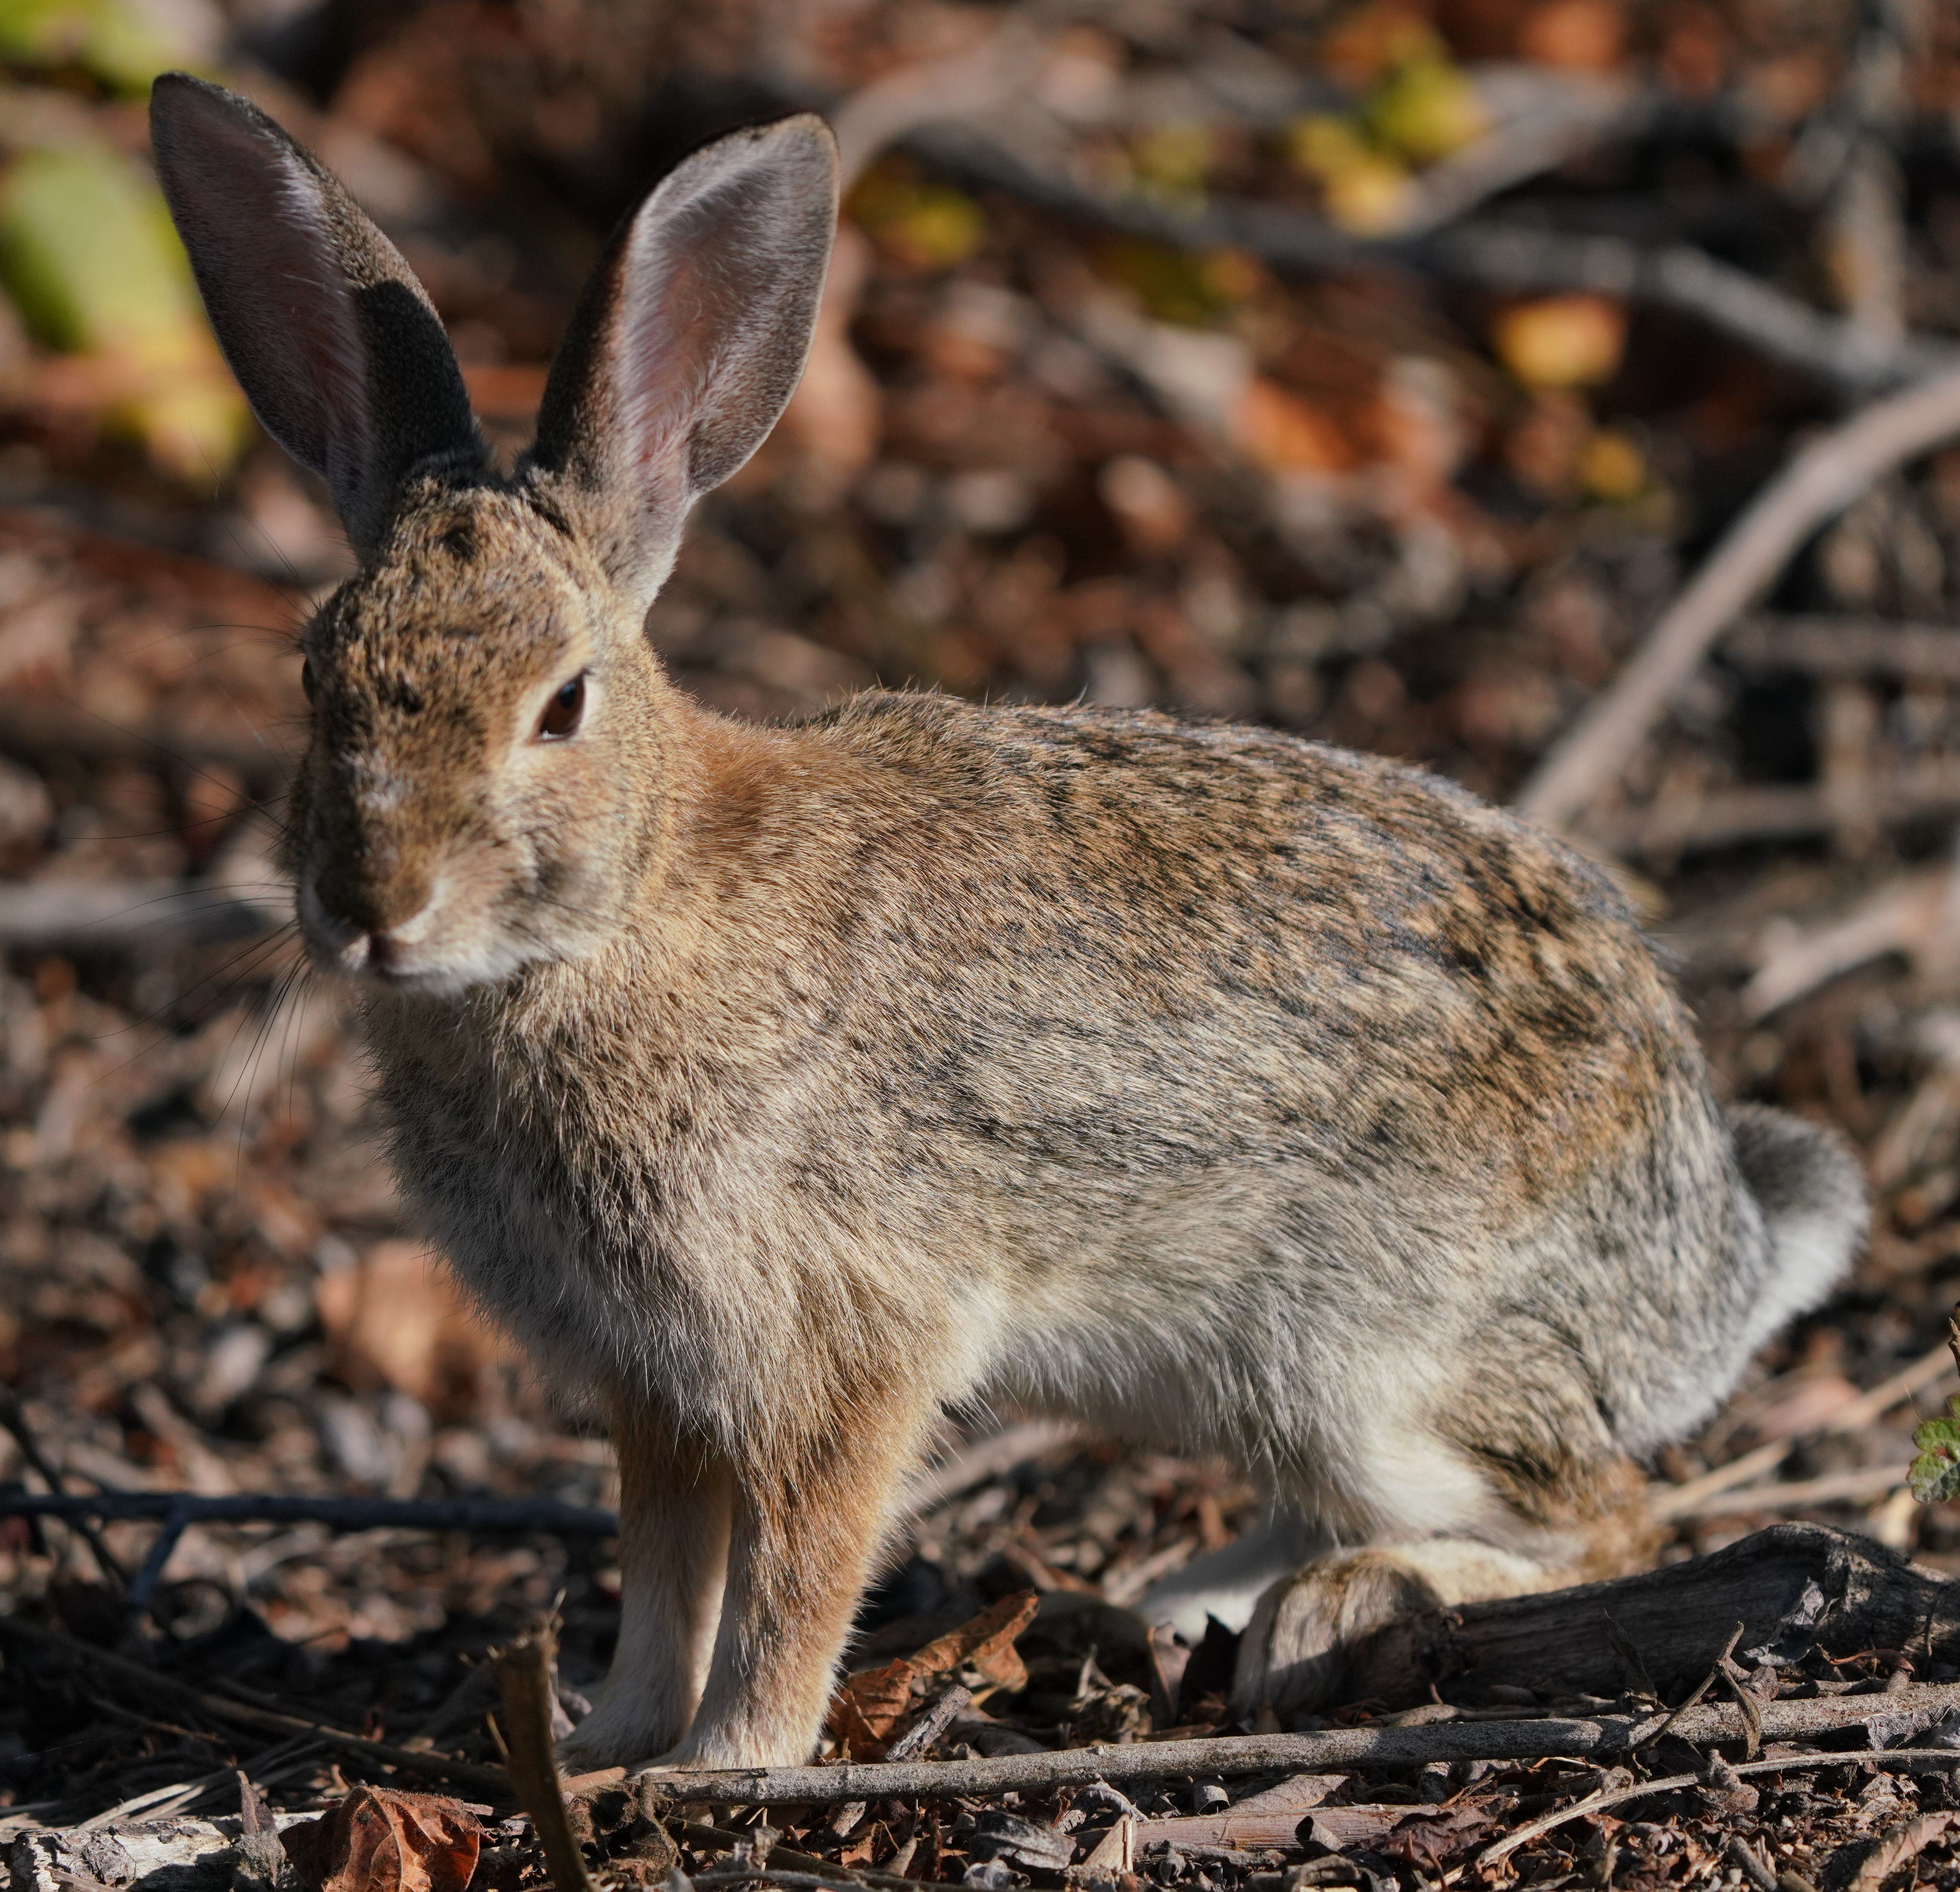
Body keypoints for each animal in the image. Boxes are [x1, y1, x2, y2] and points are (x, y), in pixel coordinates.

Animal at [149, 72, 1868, 1771]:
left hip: (1369, 1362)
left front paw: (729, 1764)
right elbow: (666, 1568)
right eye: (314, 669)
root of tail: (1714, 1239)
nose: (373, 907)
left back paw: (1341, 1604)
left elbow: (796, 1572)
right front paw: (608, 1748)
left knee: (1607, 1520)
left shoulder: (846, 1335)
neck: (624, 915)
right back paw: (1161, 1598)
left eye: (560, 705)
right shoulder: (663, 1380)